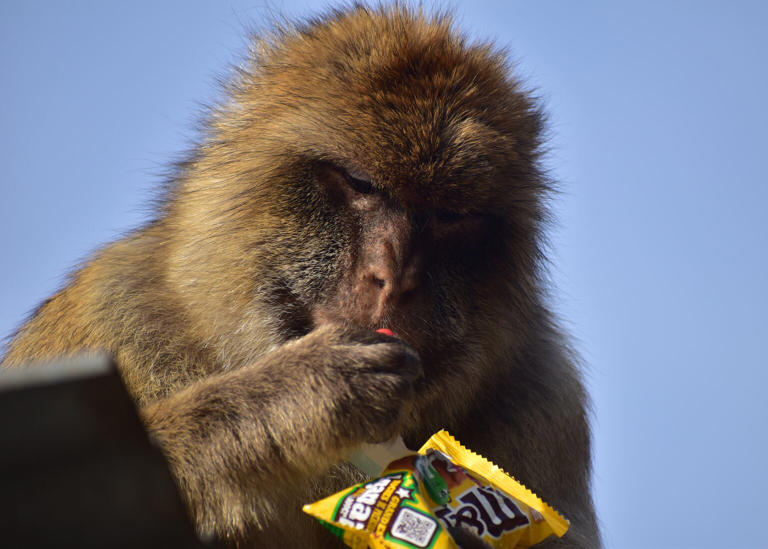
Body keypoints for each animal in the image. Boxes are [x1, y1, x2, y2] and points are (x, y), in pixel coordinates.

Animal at [1, 5, 600, 549]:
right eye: (360, 182)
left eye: (451, 215)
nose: (392, 278)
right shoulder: (112, 312)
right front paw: (293, 395)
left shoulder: (546, 399)